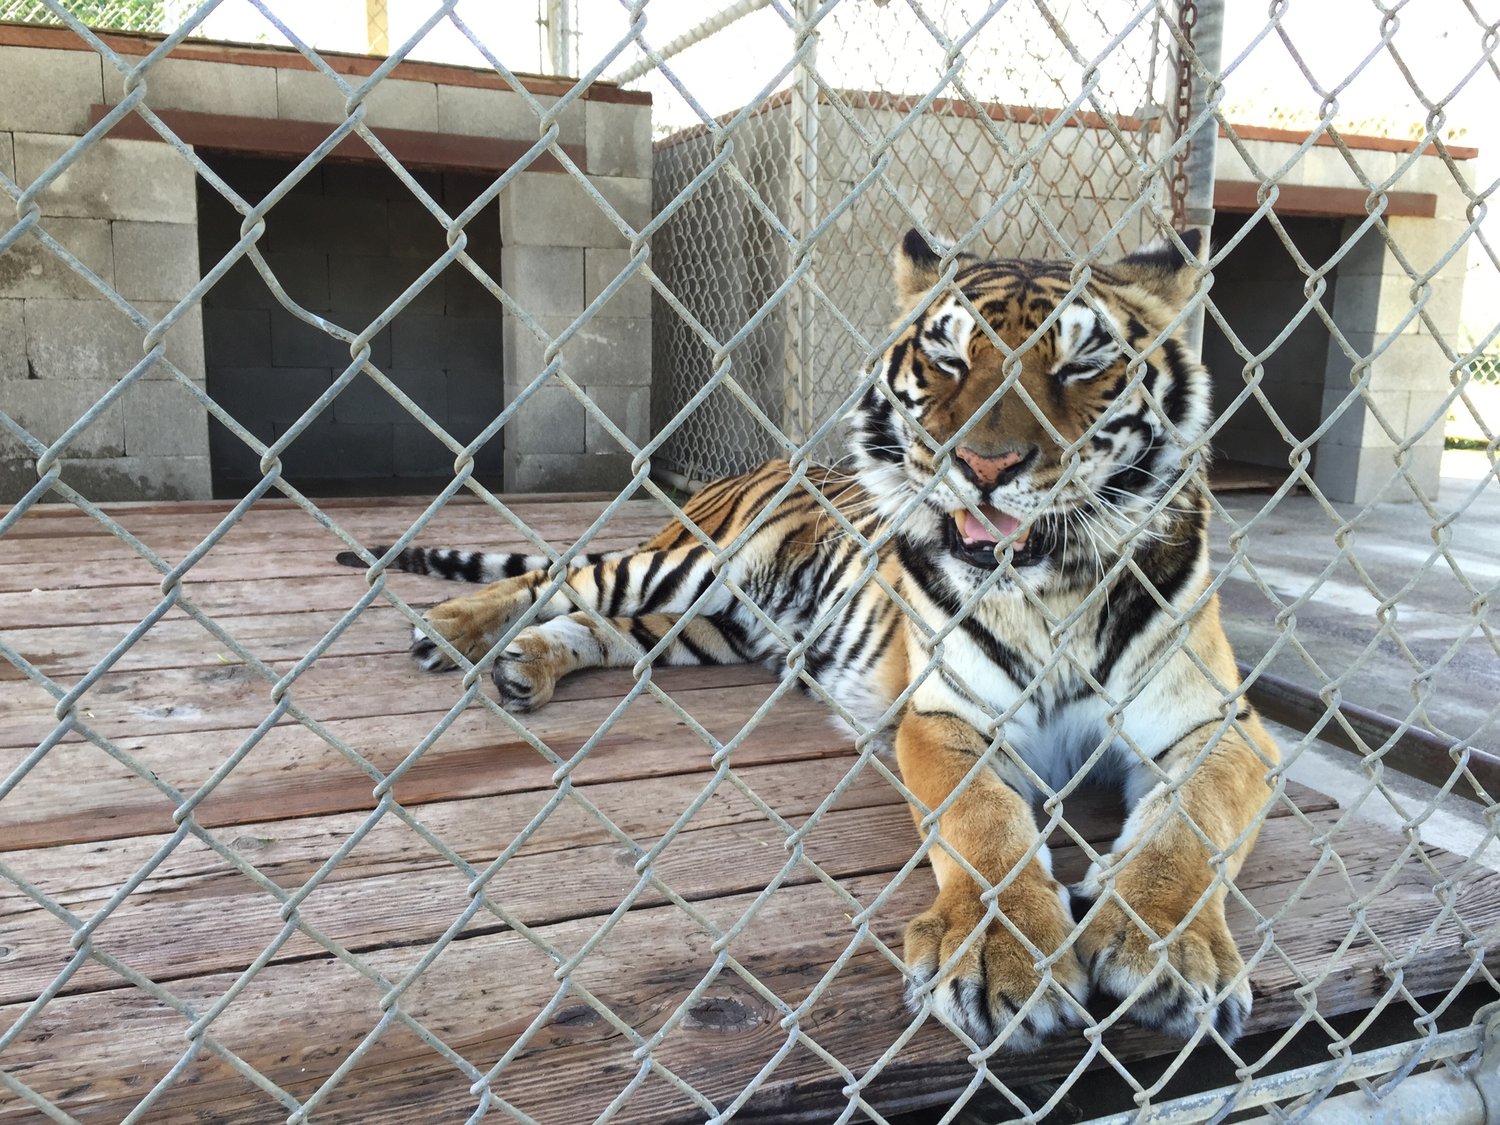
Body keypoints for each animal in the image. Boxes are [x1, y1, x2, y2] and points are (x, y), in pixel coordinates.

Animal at [336, 228, 1279, 1050]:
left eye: (1082, 362)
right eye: (949, 357)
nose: (984, 466)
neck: (1053, 588)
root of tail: (756, 466)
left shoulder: (1223, 725)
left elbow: (1188, 825)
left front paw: (1170, 948)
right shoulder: (945, 715)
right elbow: (984, 823)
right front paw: (999, 957)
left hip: (707, 624)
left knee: (601, 626)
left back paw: (524, 668)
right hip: (686, 567)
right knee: (560, 576)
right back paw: (450, 629)